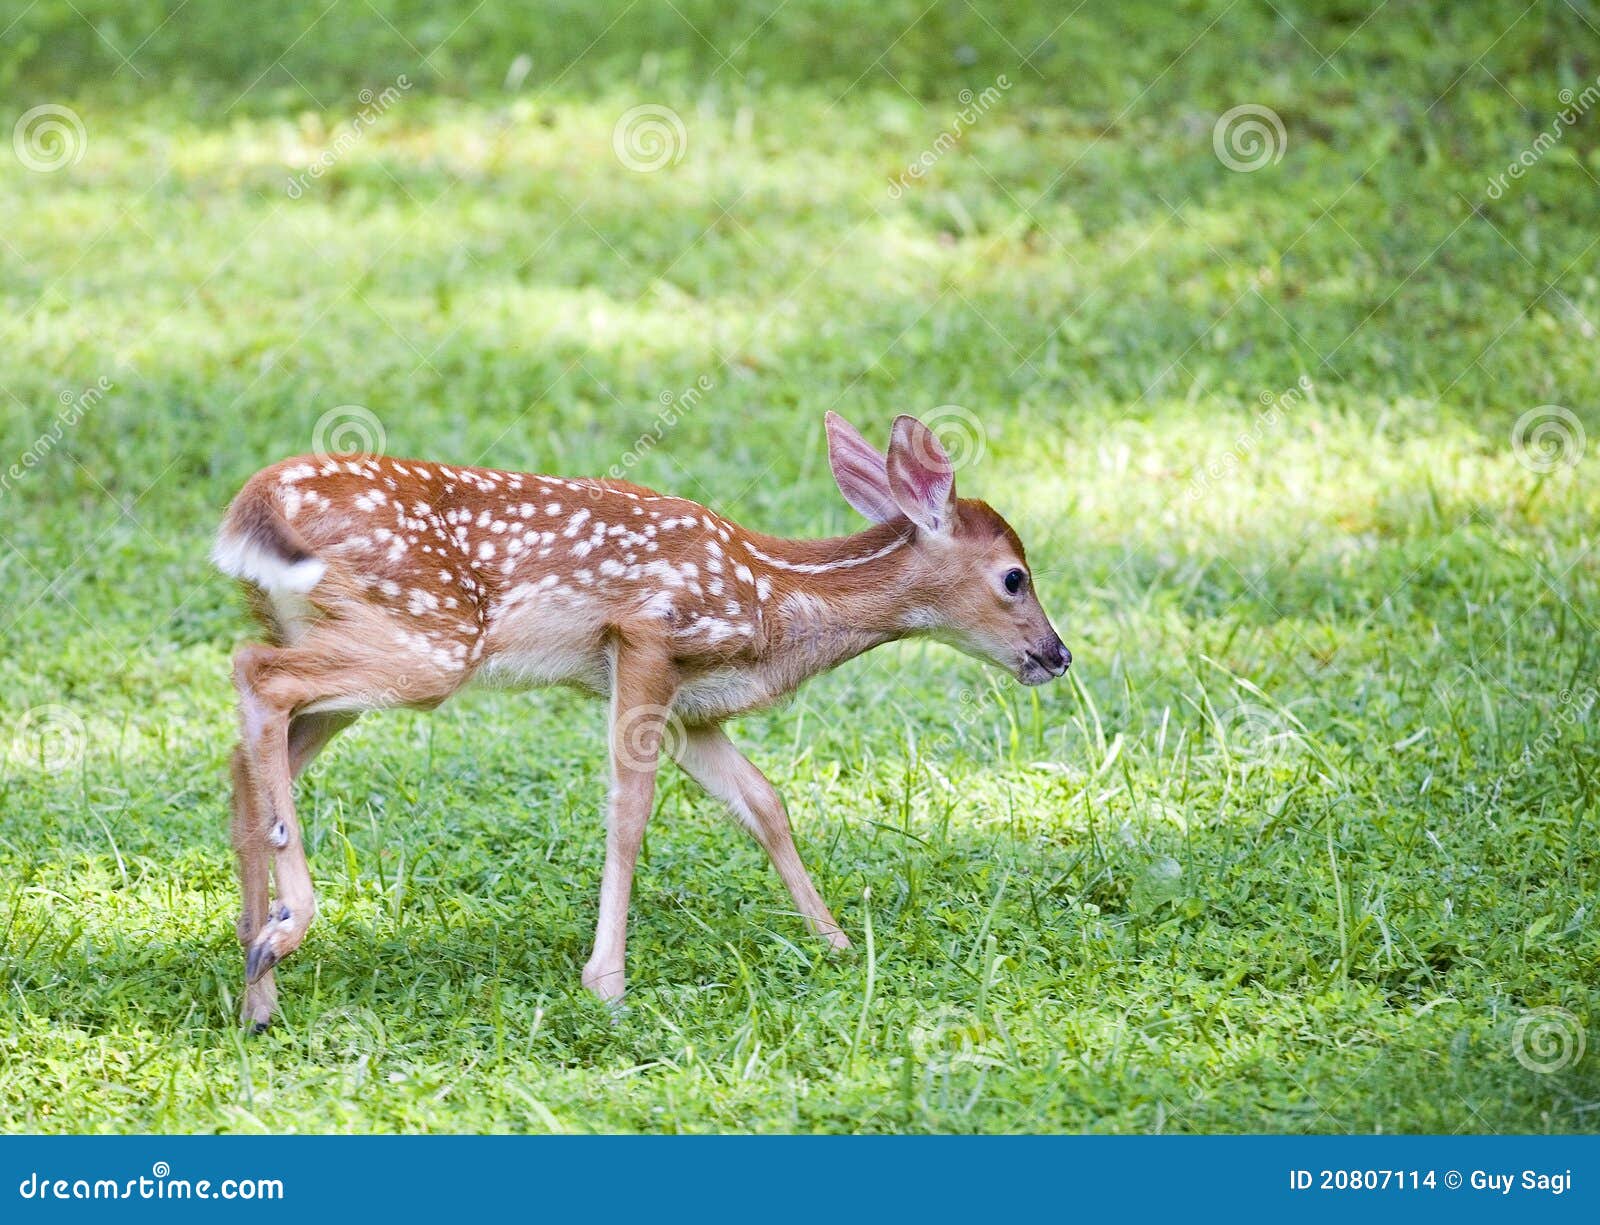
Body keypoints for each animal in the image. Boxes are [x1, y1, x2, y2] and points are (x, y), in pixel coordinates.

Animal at [213, 411, 1070, 1029]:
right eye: (1014, 577)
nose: (1056, 654)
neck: (772, 597)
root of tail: (251, 507)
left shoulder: (695, 707)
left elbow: (764, 803)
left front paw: (835, 941)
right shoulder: (648, 634)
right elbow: (631, 810)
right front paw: (607, 982)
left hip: (357, 660)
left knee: (247, 754)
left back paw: (258, 982)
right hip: (428, 643)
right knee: (255, 674)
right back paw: (287, 928)